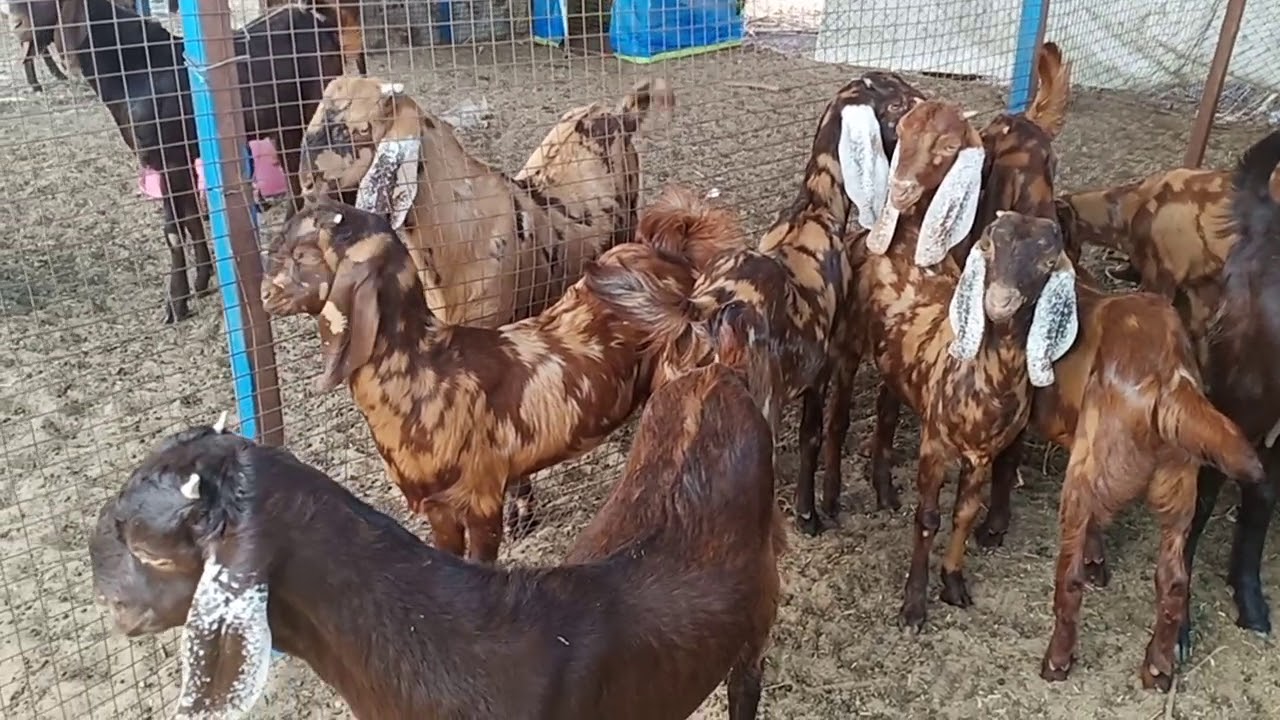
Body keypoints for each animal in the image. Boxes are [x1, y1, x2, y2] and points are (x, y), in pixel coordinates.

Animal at [54, 0, 345, 323]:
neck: (136, 71)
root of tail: (318, 19)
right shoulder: (169, 162)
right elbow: (189, 221)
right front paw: (200, 281)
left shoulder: (169, 159)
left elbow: (174, 229)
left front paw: (176, 302)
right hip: (285, 127)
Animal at [261, 193, 743, 562]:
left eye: (303, 254)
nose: (265, 294)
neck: (426, 370)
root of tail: (670, 251)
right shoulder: (439, 508)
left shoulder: (481, 497)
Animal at [585, 71, 927, 537]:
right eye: (894, 105)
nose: (926, 105)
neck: (813, 212)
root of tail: (703, 308)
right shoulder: (821, 364)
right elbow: (813, 435)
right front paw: (809, 514)